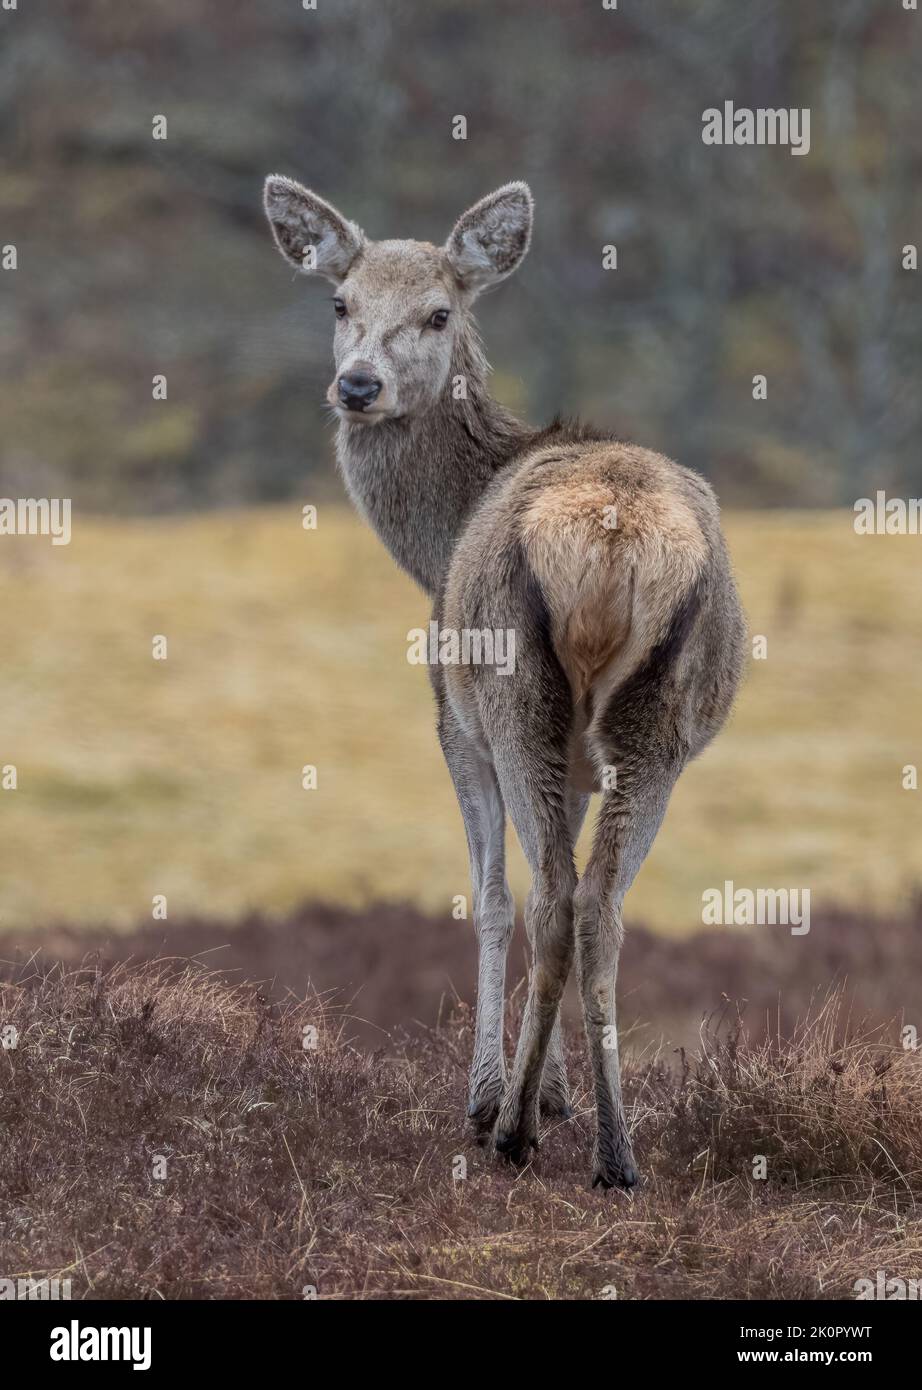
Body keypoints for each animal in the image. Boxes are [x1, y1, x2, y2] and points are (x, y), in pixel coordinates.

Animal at [263, 175, 746, 1189]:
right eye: (340, 303)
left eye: (439, 312)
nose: (357, 385)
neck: (436, 539)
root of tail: (614, 538)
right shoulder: (581, 759)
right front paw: (556, 1089)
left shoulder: (455, 726)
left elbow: (489, 897)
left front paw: (492, 1091)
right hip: (661, 724)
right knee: (600, 904)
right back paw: (615, 1151)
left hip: (512, 690)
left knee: (553, 899)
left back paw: (510, 1129)